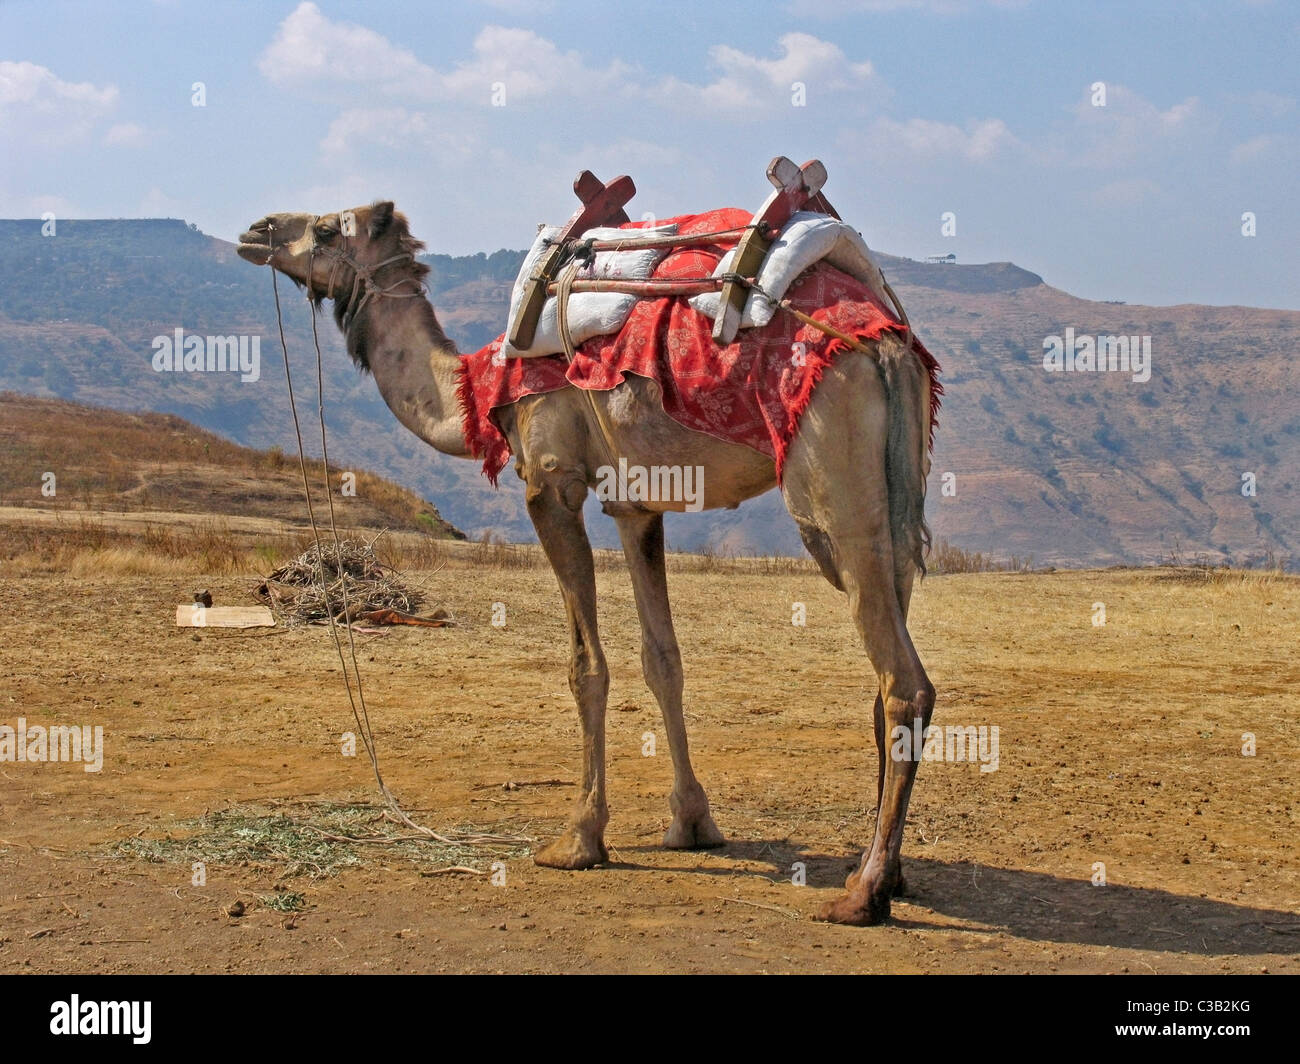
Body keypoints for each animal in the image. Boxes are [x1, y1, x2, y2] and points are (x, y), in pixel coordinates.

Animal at [237, 198, 937, 925]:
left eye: (325, 228)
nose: (256, 231)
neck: (478, 387)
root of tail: (887, 341)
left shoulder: (551, 482)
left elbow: (585, 666)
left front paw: (578, 837)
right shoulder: (635, 506)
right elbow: (663, 661)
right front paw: (690, 824)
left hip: (831, 485)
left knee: (903, 681)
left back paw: (863, 891)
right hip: (896, 493)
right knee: (886, 664)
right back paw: (889, 870)